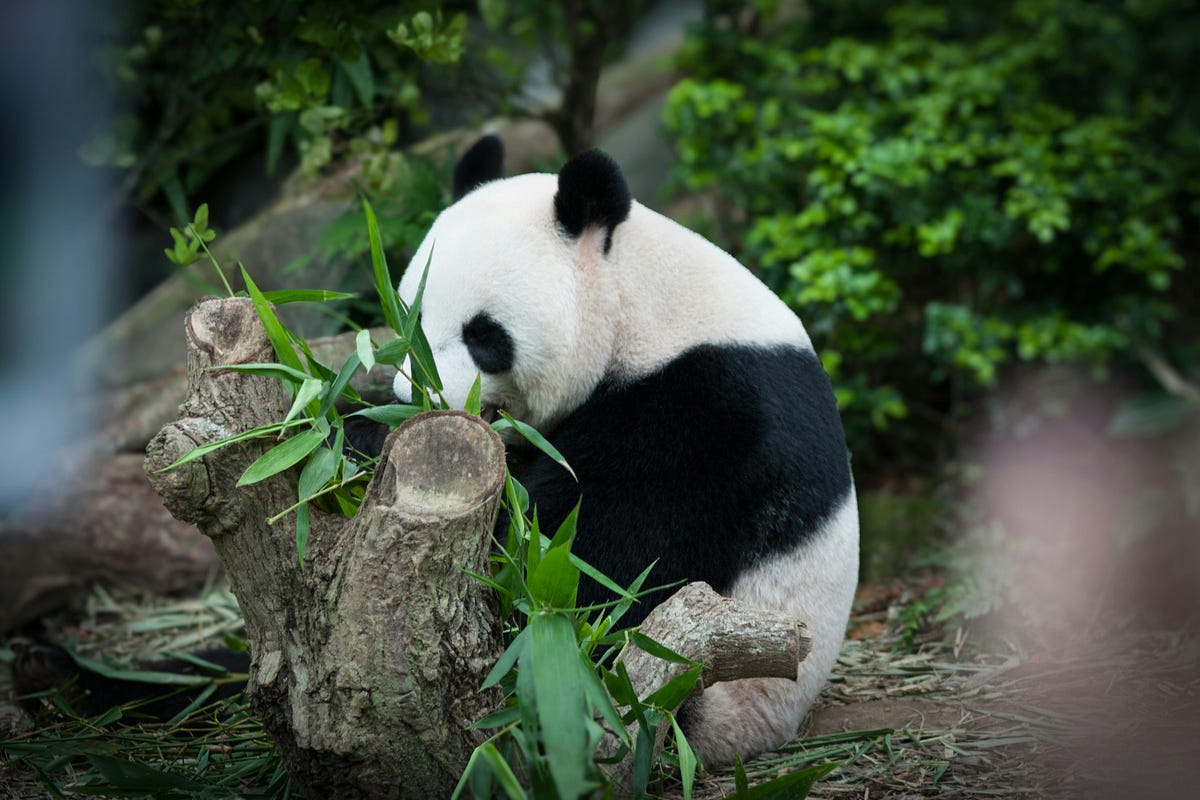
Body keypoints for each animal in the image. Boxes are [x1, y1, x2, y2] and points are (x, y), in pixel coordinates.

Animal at [392, 135, 860, 766]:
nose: (416, 397)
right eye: (411, 316)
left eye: (483, 335)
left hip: (714, 686)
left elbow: (589, 565)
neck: (639, 300)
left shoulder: (707, 414)